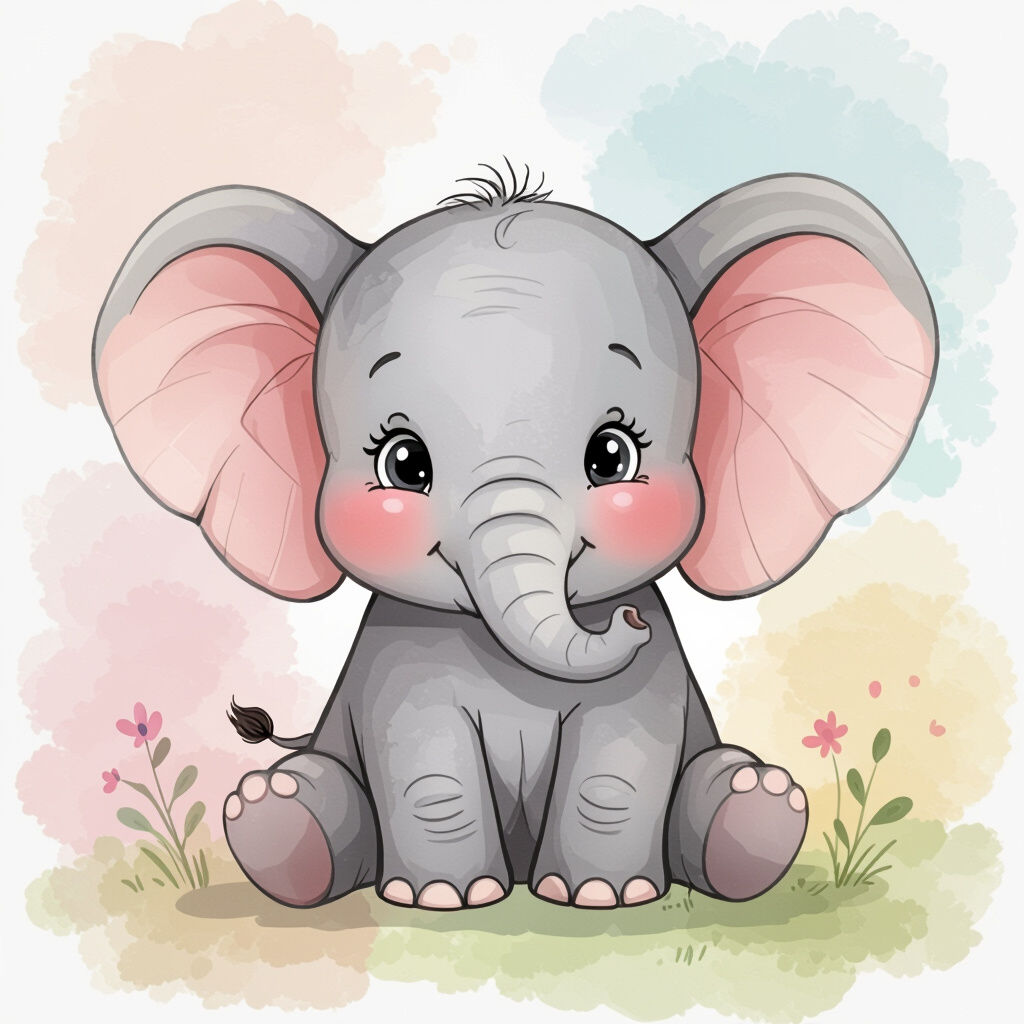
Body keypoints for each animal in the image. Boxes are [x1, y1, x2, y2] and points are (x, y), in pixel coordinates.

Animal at [93, 167, 936, 911]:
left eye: (611, 456)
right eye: (403, 463)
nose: (623, 618)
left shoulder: (648, 679)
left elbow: (618, 763)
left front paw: (601, 897)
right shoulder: (403, 662)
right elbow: (427, 765)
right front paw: (443, 899)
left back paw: (756, 803)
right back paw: (275, 814)